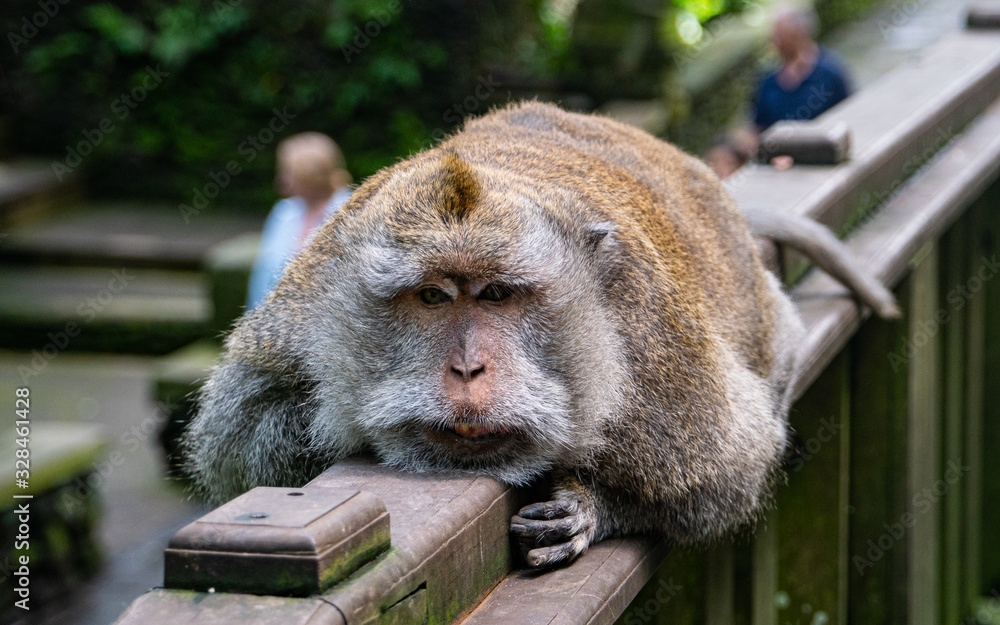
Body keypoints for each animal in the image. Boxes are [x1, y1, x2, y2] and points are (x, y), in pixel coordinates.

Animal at [182, 101, 898, 569]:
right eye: (432, 297)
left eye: (497, 294)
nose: (467, 369)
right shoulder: (298, 319)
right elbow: (240, 442)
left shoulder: (652, 356)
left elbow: (725, 475)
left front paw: (590, 506)